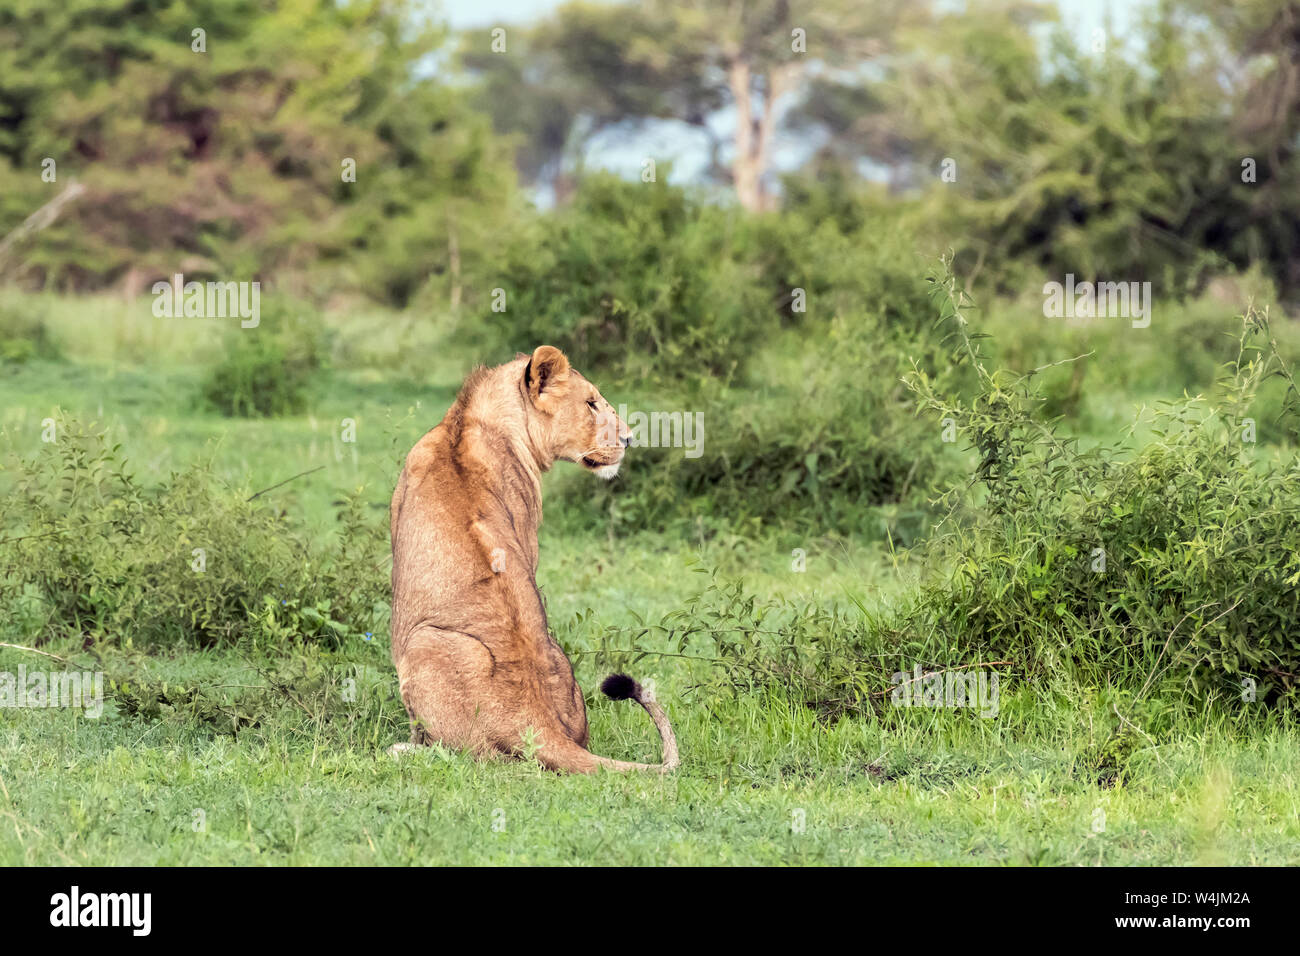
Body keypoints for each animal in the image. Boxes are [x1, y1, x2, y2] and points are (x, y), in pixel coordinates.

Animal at [388, 345, 679, 773]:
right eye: (591, 403)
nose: (629, 438)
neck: (467, 422)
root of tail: (538, 721)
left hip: (423, 640)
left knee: (473, 756)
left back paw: (407, 749)